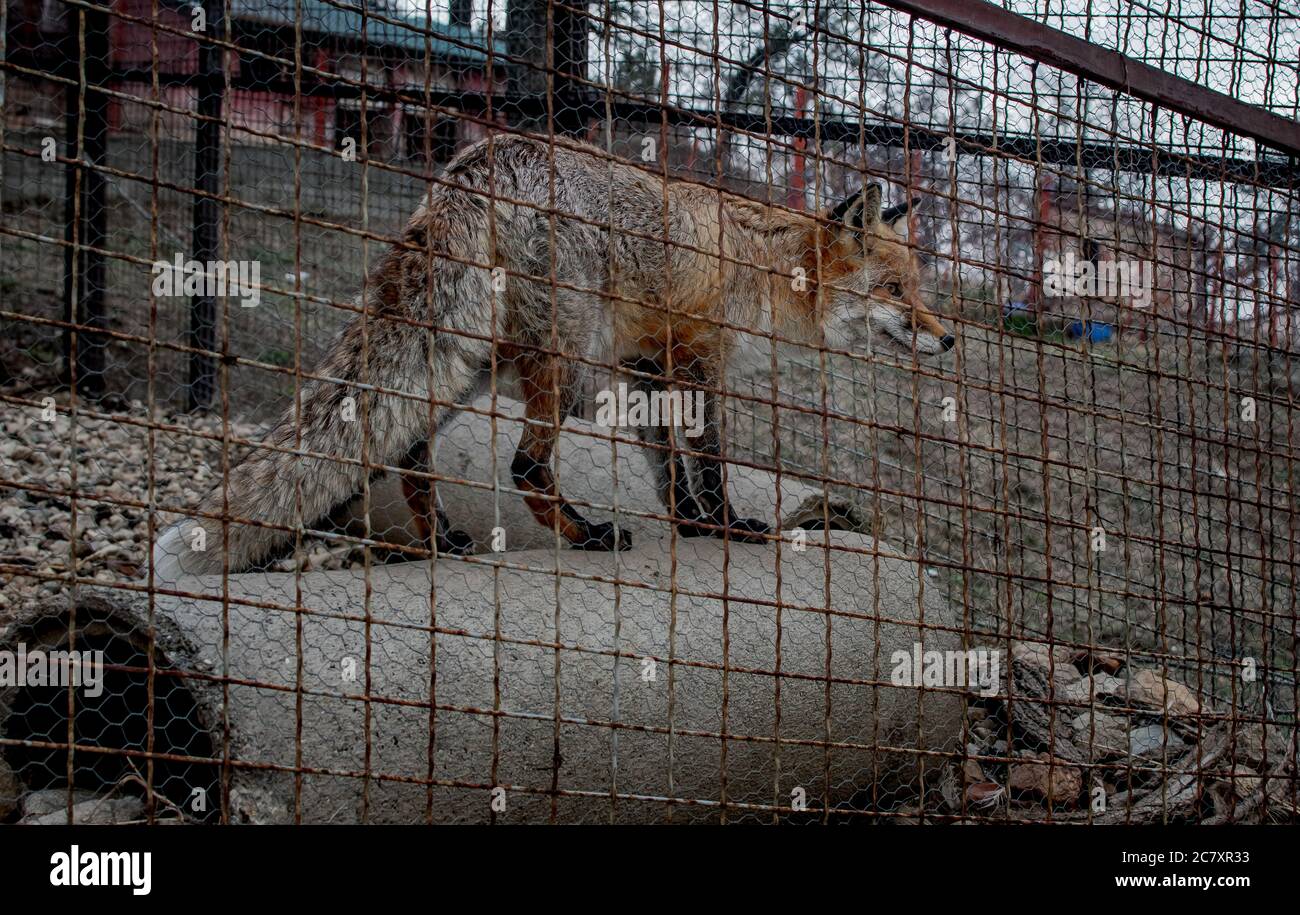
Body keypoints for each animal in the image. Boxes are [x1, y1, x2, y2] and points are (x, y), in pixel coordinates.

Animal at [151, 133, 953, 578]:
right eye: (895, 291)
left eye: (921, 291)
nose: (948, 338)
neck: (759, 266)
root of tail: (472, 166)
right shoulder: (695, 362)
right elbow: (709, 463)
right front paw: (728, 528)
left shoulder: (644, 366)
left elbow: (667, 470)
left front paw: (692, 527)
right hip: (563, 370)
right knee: (525, 465)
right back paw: (587, 535)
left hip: (468, 369)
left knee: (408, 453)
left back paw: (443, 540)